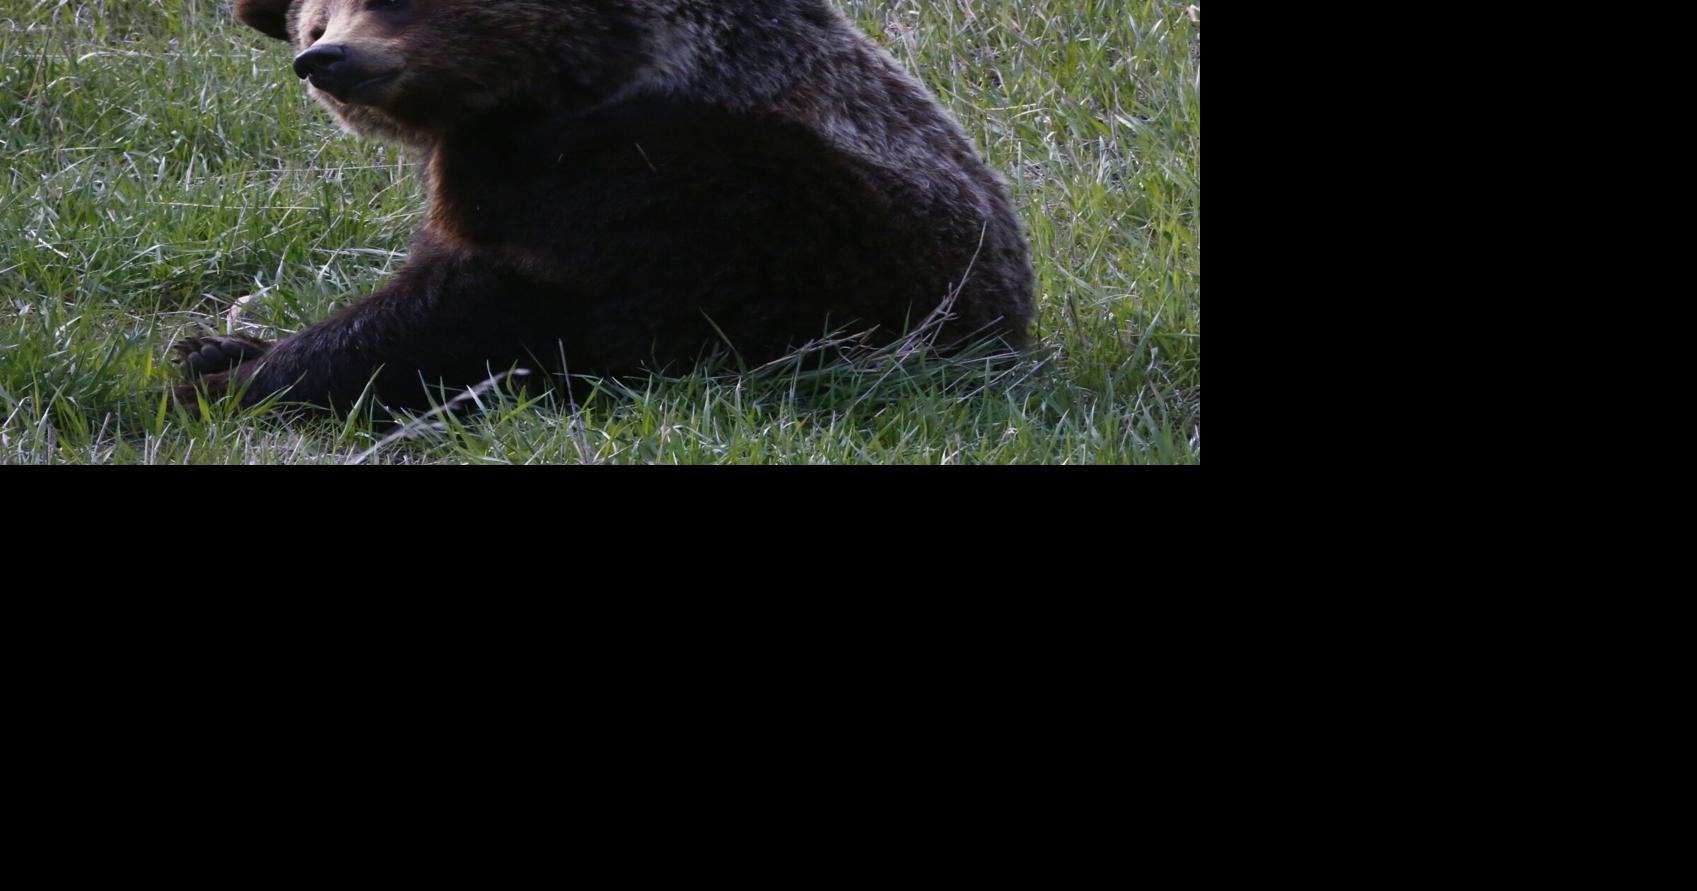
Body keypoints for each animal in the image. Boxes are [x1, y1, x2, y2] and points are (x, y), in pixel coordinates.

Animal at [175, 0, 1036, 412]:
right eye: (313, 19)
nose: (324, 58)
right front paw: (217, 347)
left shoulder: (687, 195)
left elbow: (457, 317)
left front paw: (226, 379)